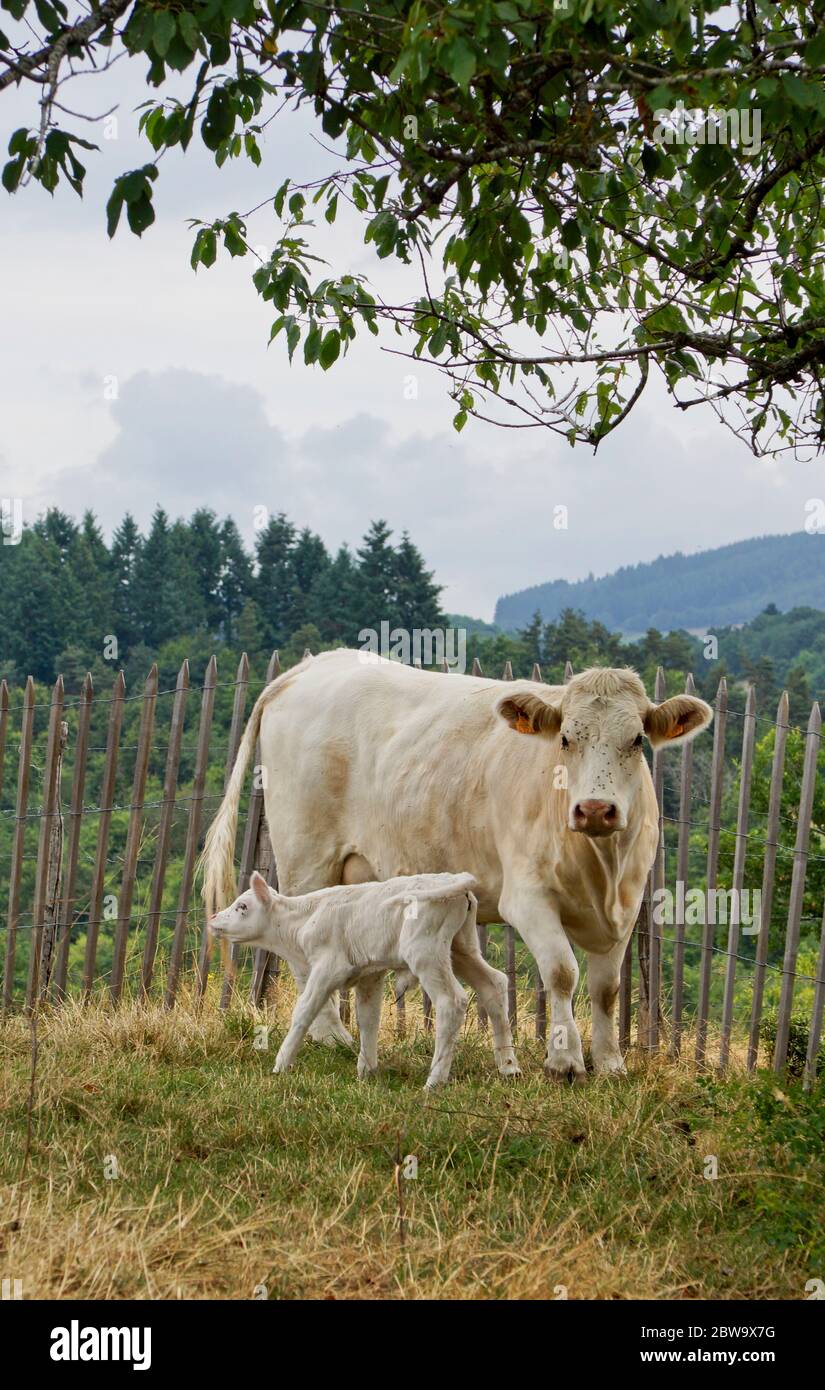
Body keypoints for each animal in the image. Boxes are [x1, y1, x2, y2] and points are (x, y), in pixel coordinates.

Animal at [209, 869, 518, 1088]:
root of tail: (455, 879)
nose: (213, 919)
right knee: (494, 984)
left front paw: (281, 1064)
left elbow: (305, 1011)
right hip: (461, 946)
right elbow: (368, 1018)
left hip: (425, 951)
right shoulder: (370, 974)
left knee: (451, 1001)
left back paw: (435, 1081)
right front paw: (366, 1071)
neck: (301, 922)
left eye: (242, 906)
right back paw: (509, 1066)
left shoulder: (328, 966)